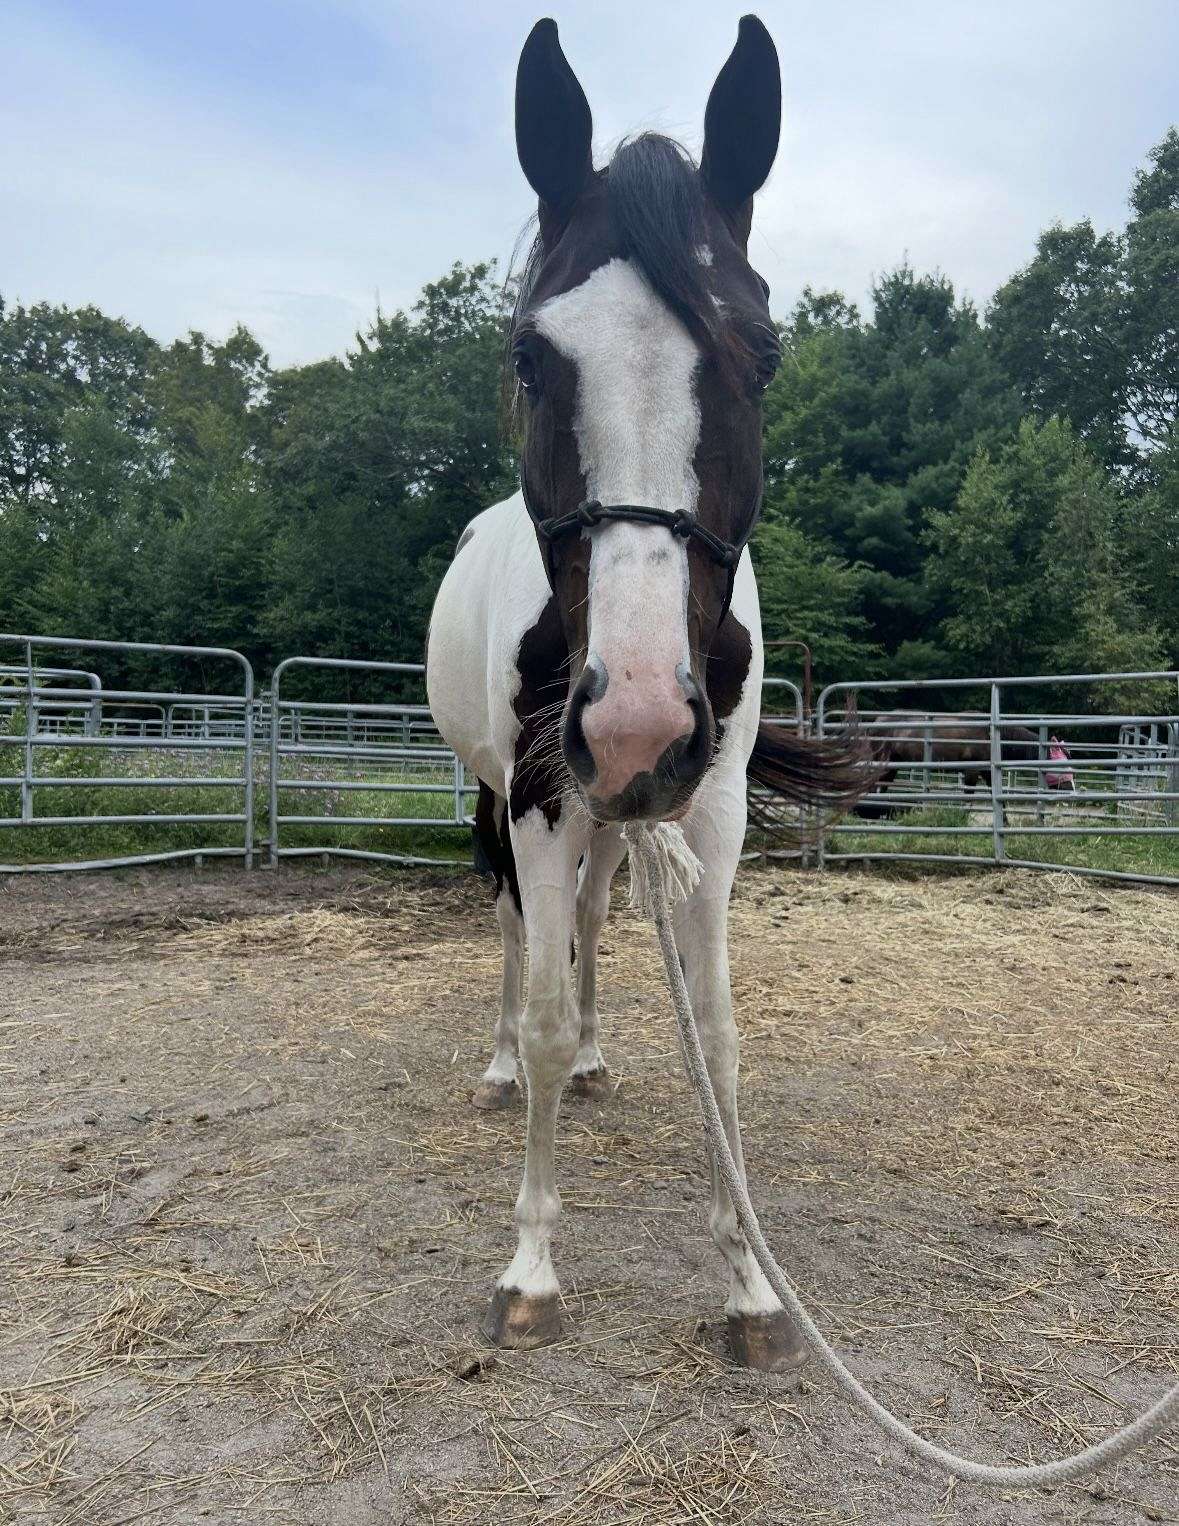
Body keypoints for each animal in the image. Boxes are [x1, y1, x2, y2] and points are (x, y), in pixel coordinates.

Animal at [426, 16, 867, 1372]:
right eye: (530, 356)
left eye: (761, 353)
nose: (633, 722)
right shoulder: (539, 790)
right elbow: (543, 995)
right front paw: (529, 1265)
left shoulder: (704, 806)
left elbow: (716, 1039)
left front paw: (751, 1283)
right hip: (507, 792)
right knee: (520, 932)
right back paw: (508, 1066)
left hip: (620, 810)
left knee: (591, 913)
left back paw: (595, 1059)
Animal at [852, 712, 1074, 818]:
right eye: (1062, 767)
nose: (1071, 790)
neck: (991, 735)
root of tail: (876, 722)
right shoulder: (971, 772)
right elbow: (967, 801)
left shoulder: (988, 773)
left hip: (892, 767)